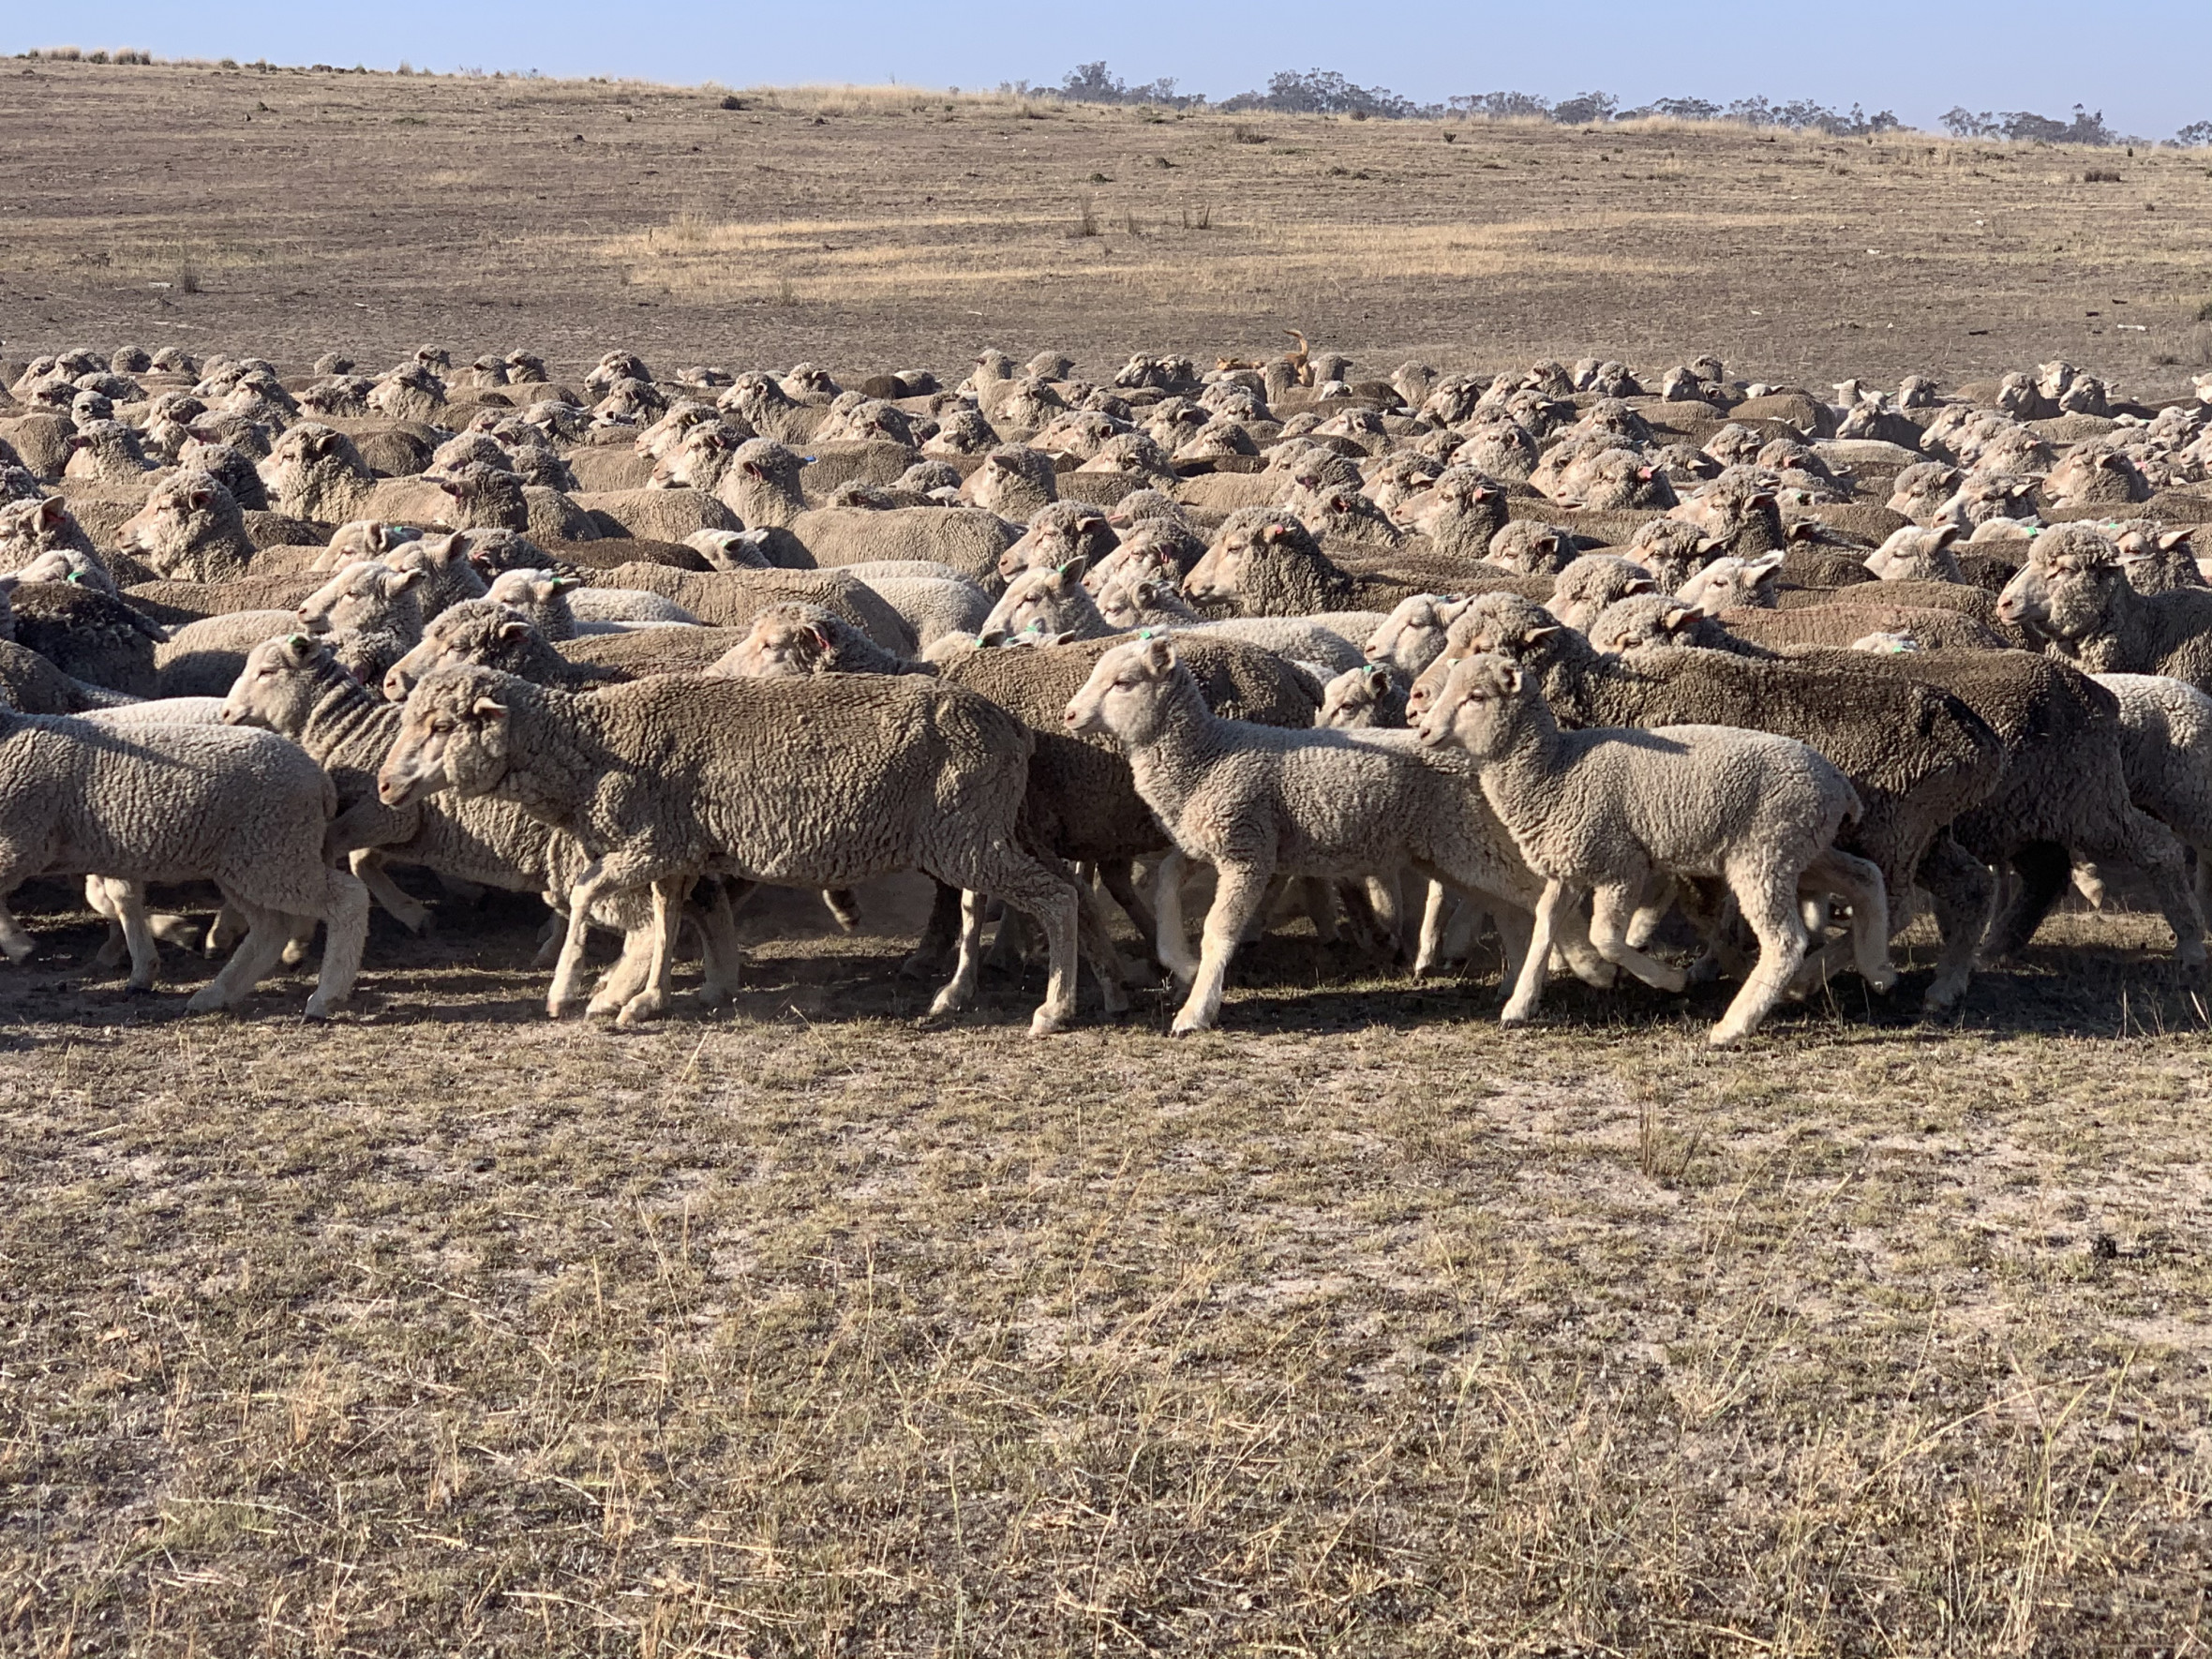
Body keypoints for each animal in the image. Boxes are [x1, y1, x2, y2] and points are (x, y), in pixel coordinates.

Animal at [0, 707, 368, 1015]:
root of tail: (318, 778)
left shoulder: (19, 843)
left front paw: (18, 945)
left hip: (275, 848)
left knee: (348, 899)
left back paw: (325, 998)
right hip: (248, 861)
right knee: (271, 927)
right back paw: (217, 994)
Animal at [376, 664, 1084, 1033]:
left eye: (441, 725)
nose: (384, 784)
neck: (592, 750)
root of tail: (1013, 727)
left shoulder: (649, 842)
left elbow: (584, 893)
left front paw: (567, 990)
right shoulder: (675, 852)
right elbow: (666, 921)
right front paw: (650, 999)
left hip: (967, 834)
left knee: (1058, 896)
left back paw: (1054, 1008)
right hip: (969, 831)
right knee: (980, 903)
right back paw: (954, 995)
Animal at [1063, 634, 1609, 1034]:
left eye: (1123, 682)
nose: (1069, 715)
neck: (1206, 755)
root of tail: (1478, 755)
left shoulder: (1246, 850)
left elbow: (1220, 929)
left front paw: (1196, 1011)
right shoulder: (1214, 840)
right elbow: (1165, 884)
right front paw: (1179, 961)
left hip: (1468, 840)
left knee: (1538, 896)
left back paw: (1581, 969)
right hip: (1453, 849)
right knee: (1509, 905)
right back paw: (1515, 983)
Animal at [1416, 653, 1891, 1042]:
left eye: (1476, 697)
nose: (1423, 730)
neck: (1556, 770)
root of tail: (1839, 785)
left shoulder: (1620, 865)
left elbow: (1605, 937)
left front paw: (1664, 980)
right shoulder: (1569, 866)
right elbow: (1545, 925)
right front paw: (1520, 1004)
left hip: (1764, 854)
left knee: (1786, 941)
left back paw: (1733, 1026)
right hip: (1801, 848)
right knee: (1866, 876)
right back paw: (1878, 969)